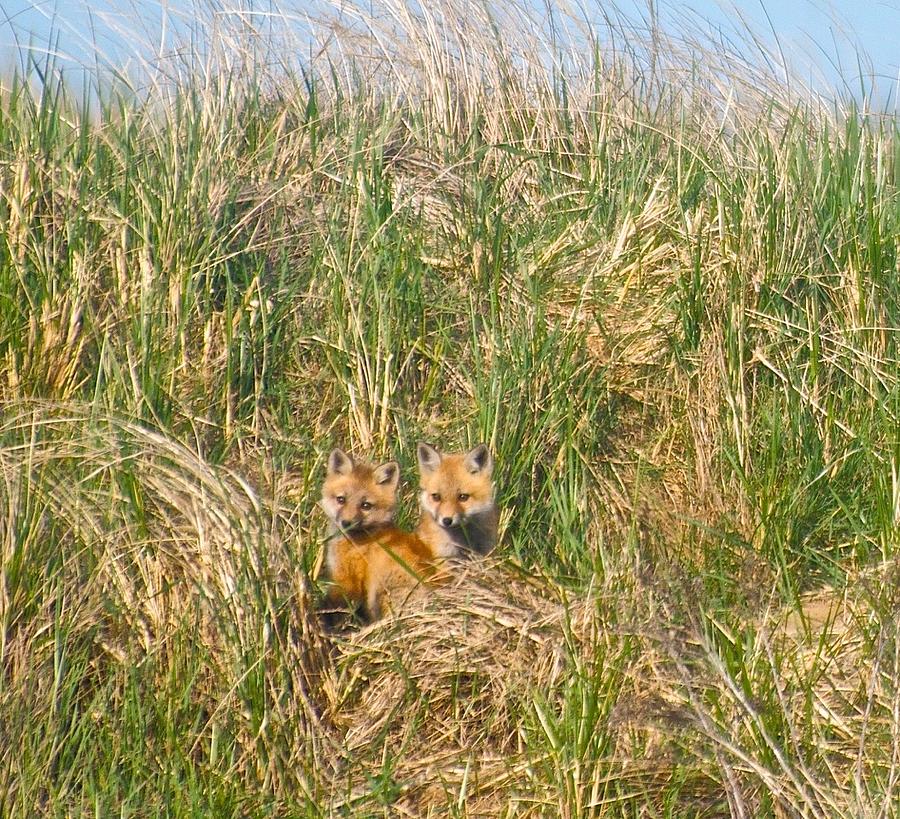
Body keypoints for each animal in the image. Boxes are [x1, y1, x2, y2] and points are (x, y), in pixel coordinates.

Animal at [320, 448, 443, 623]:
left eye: (366, 505)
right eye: (341, 499)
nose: (346, 522)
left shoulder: (346, 581)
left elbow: (333, 609)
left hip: (379, 590)